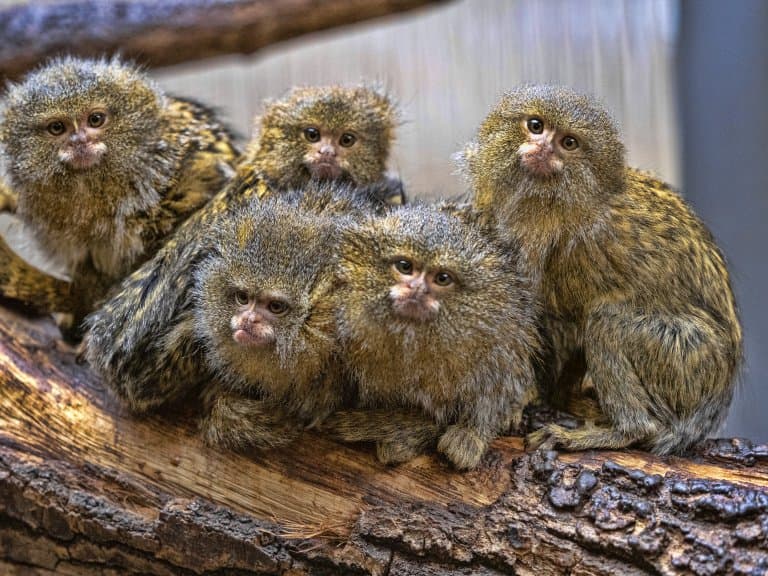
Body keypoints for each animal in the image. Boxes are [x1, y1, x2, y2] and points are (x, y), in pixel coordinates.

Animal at [325, 204, 540, 470]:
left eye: (442, 278)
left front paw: (470, 435)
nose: (416, 290)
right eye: (405, 266)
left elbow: (496, 394)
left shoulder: (502, 345)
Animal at [458, 85, 742, 455]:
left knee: (606, 324)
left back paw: (618, 431)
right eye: (535, 126)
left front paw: (519, 398)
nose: (543, 149)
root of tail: (718, 396)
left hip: (687, 359)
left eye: (568, 143)